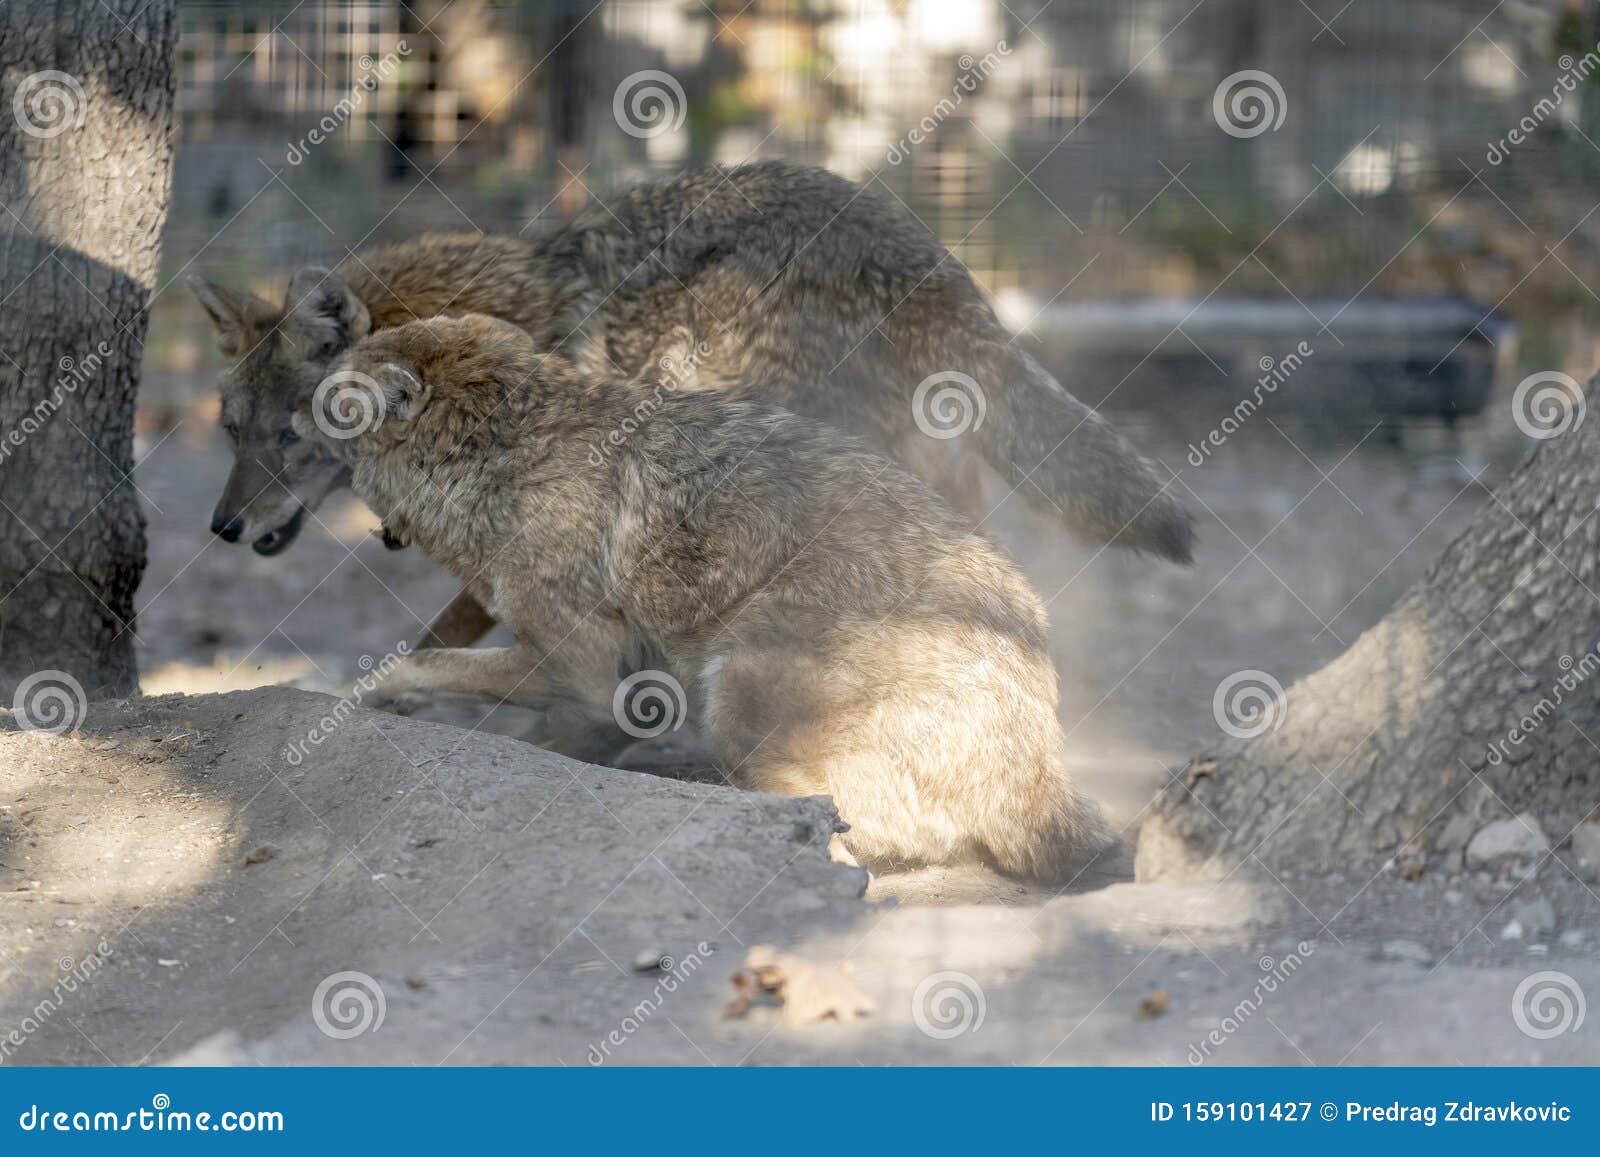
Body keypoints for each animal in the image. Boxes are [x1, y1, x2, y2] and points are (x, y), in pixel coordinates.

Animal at [290, 312, 1116, 880]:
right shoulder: (625, 690)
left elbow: (419, 664)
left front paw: (357, 696)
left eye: (326, 398)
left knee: (829, 829)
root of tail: (1037, 764)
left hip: (736, 683)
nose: (288, 409)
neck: (510, 458)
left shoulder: (580, 669)